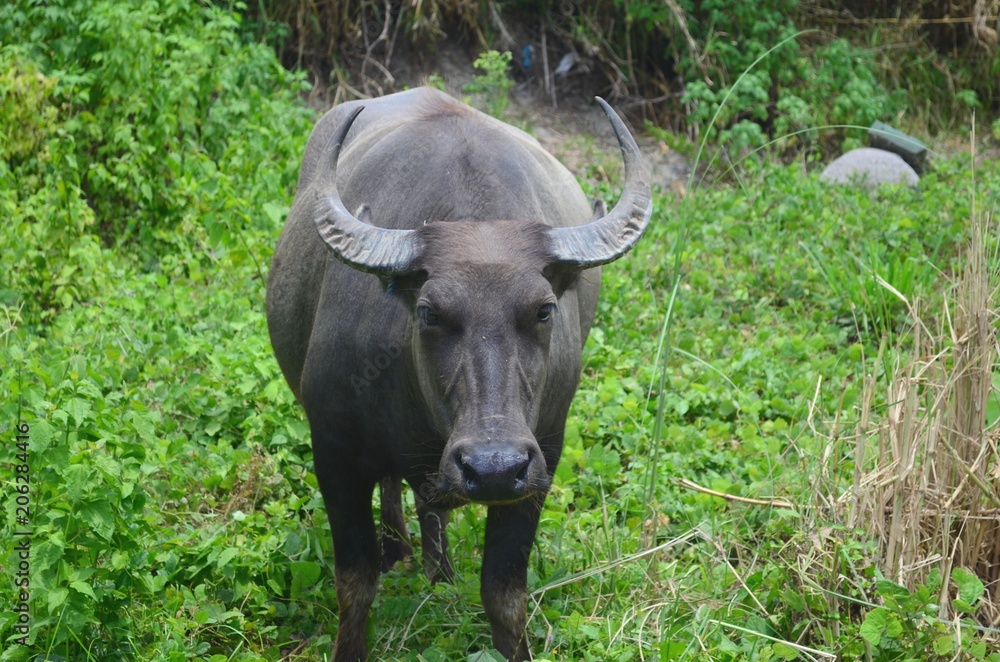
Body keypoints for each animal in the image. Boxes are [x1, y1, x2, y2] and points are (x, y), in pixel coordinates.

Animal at [266, 86, 652, 660]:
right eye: (430, 312)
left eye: (544, 310)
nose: (493, 468)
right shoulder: (333, 451)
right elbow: (355, 582)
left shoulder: (541, 458)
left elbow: (505, 594)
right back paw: (399, 552)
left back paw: (439, 573)